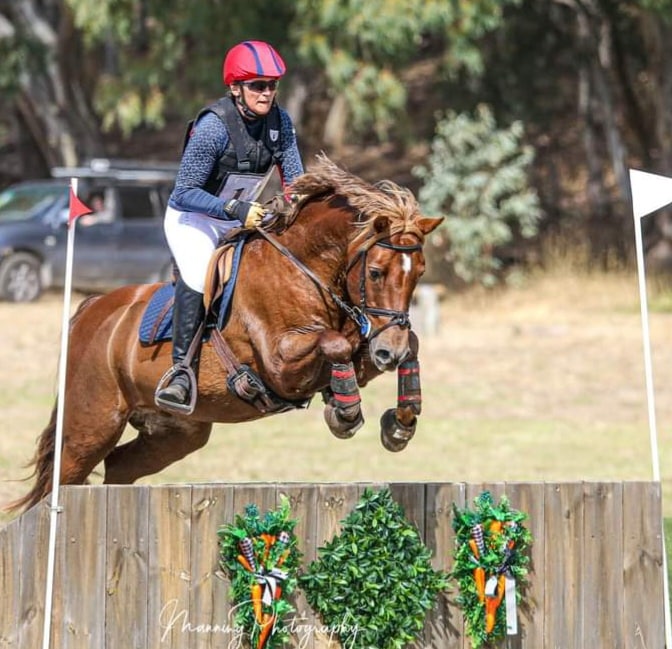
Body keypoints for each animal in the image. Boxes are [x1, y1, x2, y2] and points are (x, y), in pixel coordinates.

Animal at [8, 155, 442, 513]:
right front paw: (346, 414)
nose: (389, 351)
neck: (304, 268)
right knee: (62, 478)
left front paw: (399, 422)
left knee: (119, 467)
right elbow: (333, 344)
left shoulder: (362, 345)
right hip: (90, 427)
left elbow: (398, 345)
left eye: (419, 273)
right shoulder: (280, 365)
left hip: (175, 433)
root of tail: (90, 312)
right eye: (376, 272)